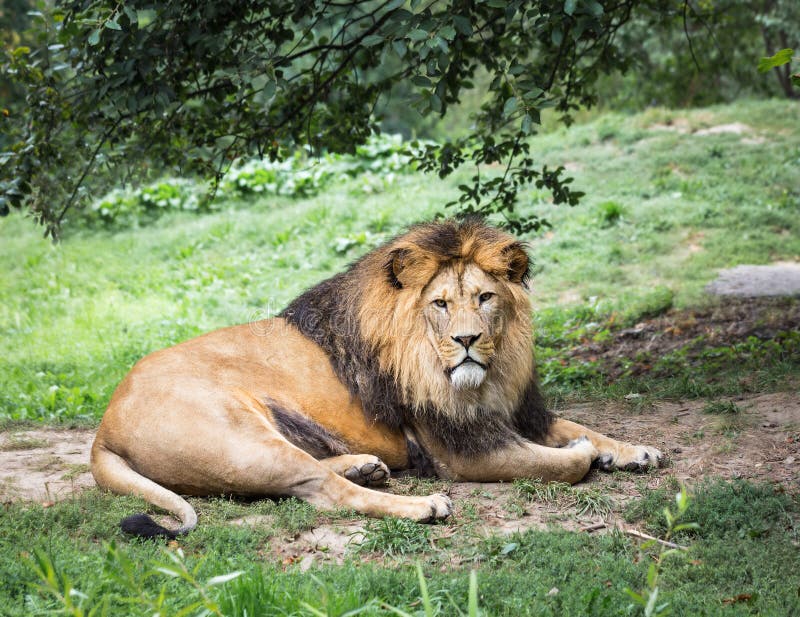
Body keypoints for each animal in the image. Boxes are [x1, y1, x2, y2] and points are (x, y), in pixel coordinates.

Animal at [91, 219, 663, 538]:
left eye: (484, 297)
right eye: (440, 304)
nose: (468, 340)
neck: (490, 375)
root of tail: (103, 427)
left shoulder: (516, 409)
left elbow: (575, 427)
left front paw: (633, 449)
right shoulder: (463, 449)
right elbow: (560, 461)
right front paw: (590, 455)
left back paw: (365, 466)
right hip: (240, 439)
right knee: (322, 490)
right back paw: (420, 505)